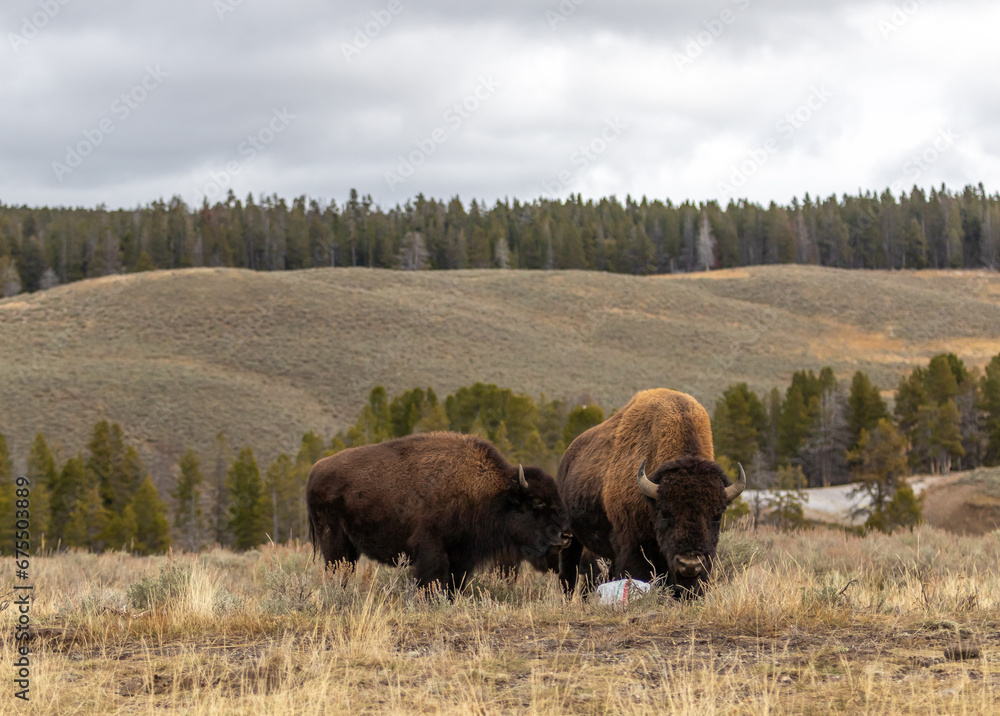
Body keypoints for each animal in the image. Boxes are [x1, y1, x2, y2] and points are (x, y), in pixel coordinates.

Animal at [307, 431, 571, 594]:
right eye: (537, 502)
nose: (566, 535)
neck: (490, 492)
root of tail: (315, 470)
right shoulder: (432, 549)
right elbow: (431, 579)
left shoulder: (462, 556)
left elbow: (455, 583)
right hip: (335, 542)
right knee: (336, 570)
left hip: (350, 548)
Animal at [557, 388, 745, 597]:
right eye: (665, 513)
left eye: (717, 516)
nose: (689, 564)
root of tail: (567, 458)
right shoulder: (634, 548)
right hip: (570, 539)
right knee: (569, 575)